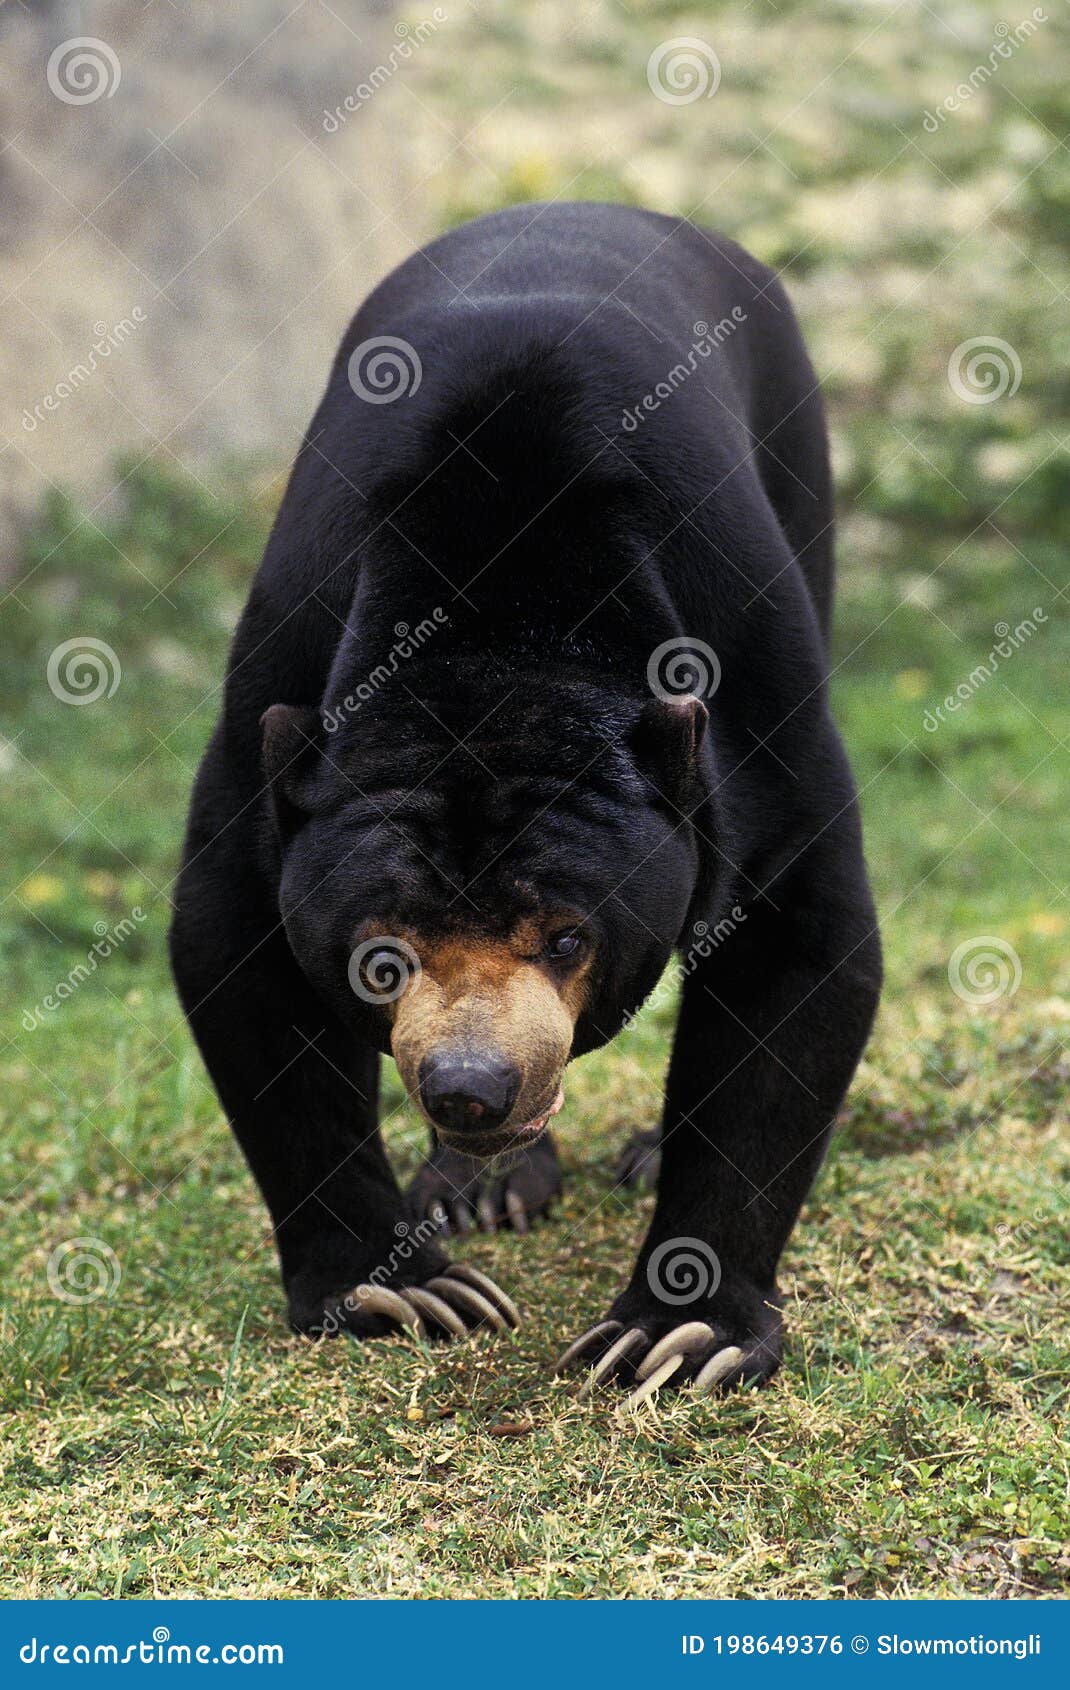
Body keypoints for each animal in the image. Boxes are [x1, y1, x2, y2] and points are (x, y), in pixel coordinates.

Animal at [170, 201, 882, 1403]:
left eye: (564, 937)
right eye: (380, 960)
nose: (470, 1088)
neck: (502, 629)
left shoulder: (753, 666)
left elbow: (795, 939)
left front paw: (677, 1332)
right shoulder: (284, 670)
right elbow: (235, 941)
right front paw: (404, 1293)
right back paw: (477, 1188)